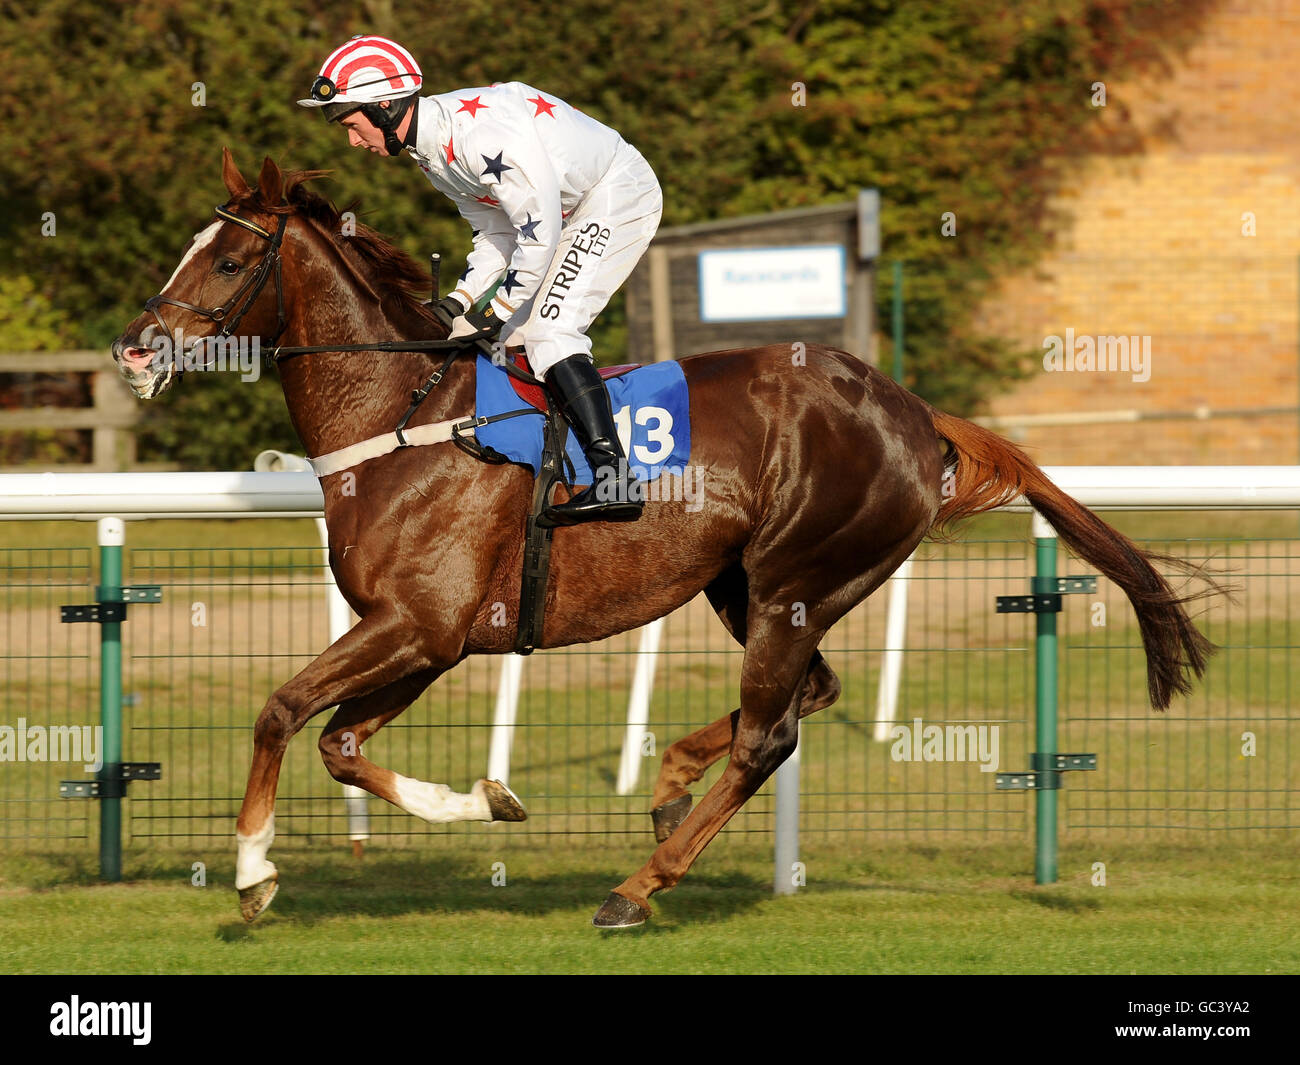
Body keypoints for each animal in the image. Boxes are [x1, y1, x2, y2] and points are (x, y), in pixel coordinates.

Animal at [111, 150, 1215, 928]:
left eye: (232, 257)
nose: (135, 347)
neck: (402, 417)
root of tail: (915, 412)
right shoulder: (430, 636)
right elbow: (338, 742)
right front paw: (489, 801)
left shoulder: (419, 624)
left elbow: (278, 710)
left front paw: (252, 871)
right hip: (750, 584)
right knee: (802, 701)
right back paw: (672, 784)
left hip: (794, 582)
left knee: (771, 731)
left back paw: (639, 886)